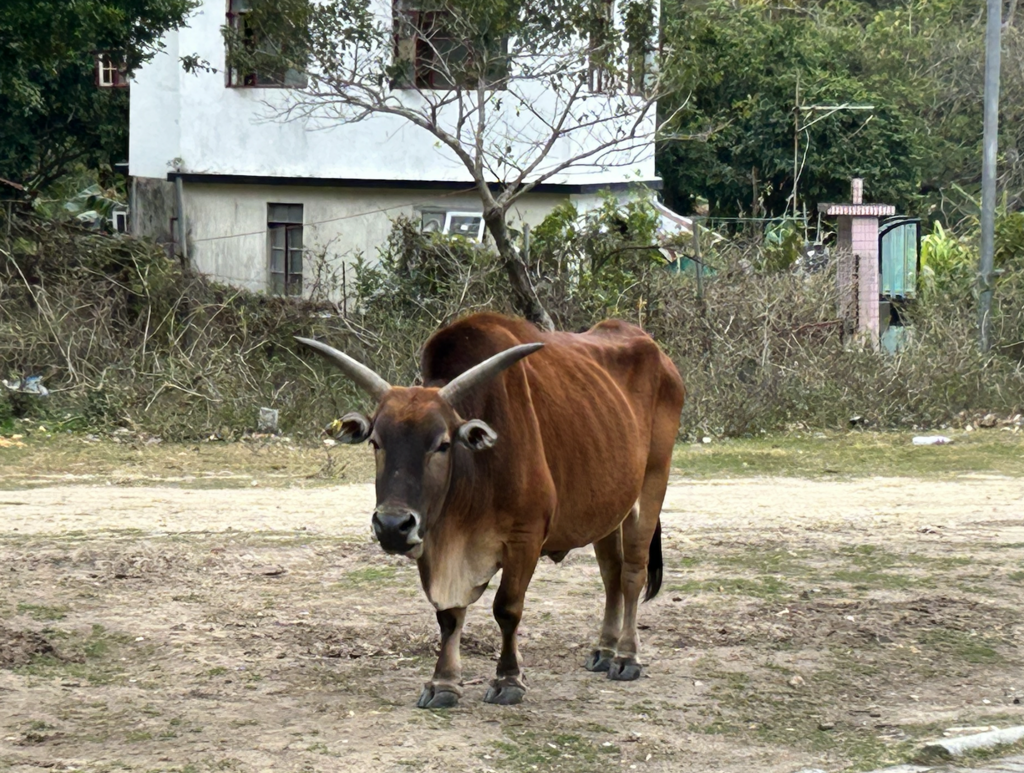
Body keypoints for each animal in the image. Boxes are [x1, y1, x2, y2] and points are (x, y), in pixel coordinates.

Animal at [297, 312, 684, 707]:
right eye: (376, 441)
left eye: (442, 444)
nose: (392, 524)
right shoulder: (434, 539)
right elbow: (449, 615)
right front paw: (443, 682)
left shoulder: (525, 537)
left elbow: (507, 608)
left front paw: (508, 678)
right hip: (607, 510)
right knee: (611, 575)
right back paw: (605, 650)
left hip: (652, 487)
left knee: (632, 573)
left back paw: (627, 656)